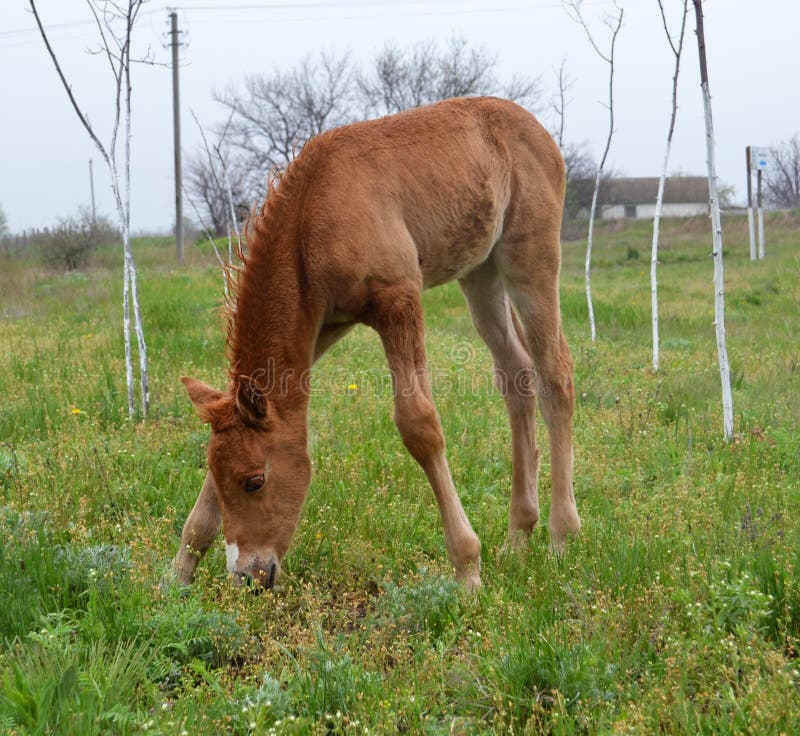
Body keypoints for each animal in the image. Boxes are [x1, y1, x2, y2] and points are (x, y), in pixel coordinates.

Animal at [171, 96, 580, 592]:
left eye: (254, 481)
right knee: (517, 374)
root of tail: (536, 128)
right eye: (221, 476)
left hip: (530, 257)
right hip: (480, 272)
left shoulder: (398, 301)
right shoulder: (321, 326)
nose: (249, 577)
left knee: (554, 373)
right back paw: (519, 536)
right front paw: (177, 574)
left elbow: (419, 426)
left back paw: (561, 538)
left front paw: (467, 570)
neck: (314, 214)